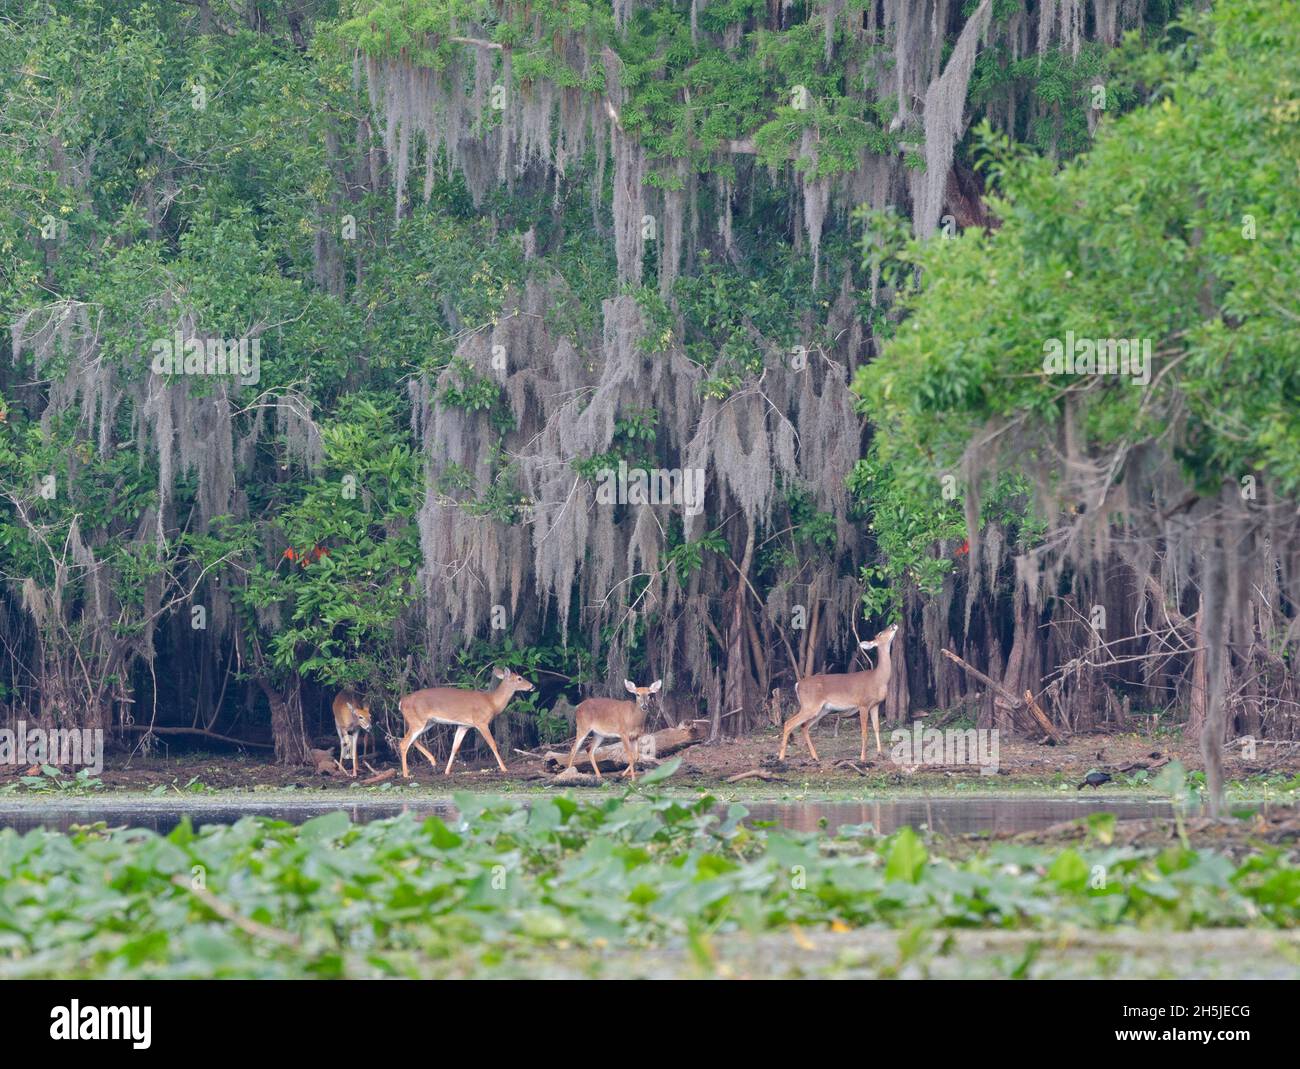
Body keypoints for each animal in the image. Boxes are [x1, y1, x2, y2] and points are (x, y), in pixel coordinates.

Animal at [397, 667, 534, 778]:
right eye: (519, 678)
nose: (532, 686)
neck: (492, 703)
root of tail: (401, 702)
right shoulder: (481, 722)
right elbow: (493, 744)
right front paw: (504, 768)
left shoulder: (464, 726)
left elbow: (455, 747)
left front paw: (447, 771)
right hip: (417, 721)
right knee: (404, 743)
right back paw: (406, 774)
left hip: (428, 722)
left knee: (413, 740)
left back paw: (433, 762)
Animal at [777, 623, 899, 765]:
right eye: (880, 633)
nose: (893, 624)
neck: (878, 679)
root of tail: (798, 684)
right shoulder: (862, 704)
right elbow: (864, 732)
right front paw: (863, 758)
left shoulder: (875, 705)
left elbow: (876, 728)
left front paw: (880, 753)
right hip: (810, 705)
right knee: (789, 723)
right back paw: (781, 757)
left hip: (822, 710)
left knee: (804, 726)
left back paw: (815, 757)